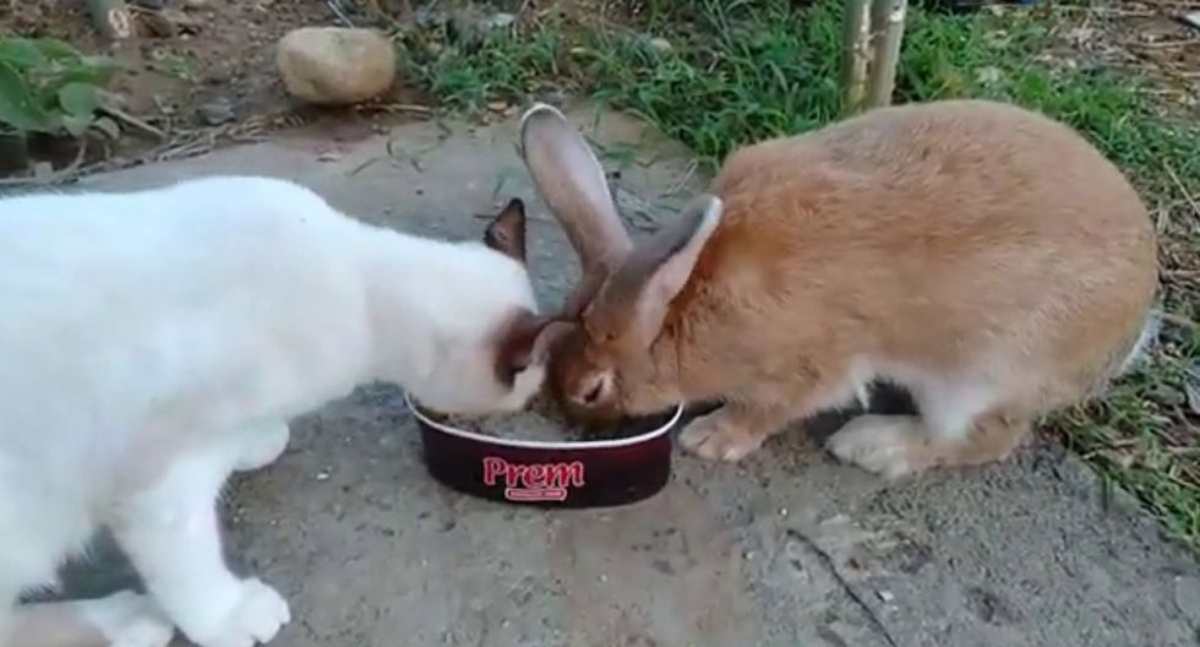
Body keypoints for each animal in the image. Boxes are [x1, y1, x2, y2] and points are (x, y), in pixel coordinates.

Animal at [0, 176, 564, 647]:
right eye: (530, 396)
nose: (530, 404)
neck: (360, 285)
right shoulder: (162, 485)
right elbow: (190, 566)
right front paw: (229, 617)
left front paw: (258, 441)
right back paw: (126, 622)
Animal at [516, 99, 1158, 478]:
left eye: (593, 389)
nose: (576, 424)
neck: (684, 302)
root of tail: (1131, 323)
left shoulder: (805, 372)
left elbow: (765, 410)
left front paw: (711, 438)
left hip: (978, 377)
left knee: (981, 438)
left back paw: (871, 445)